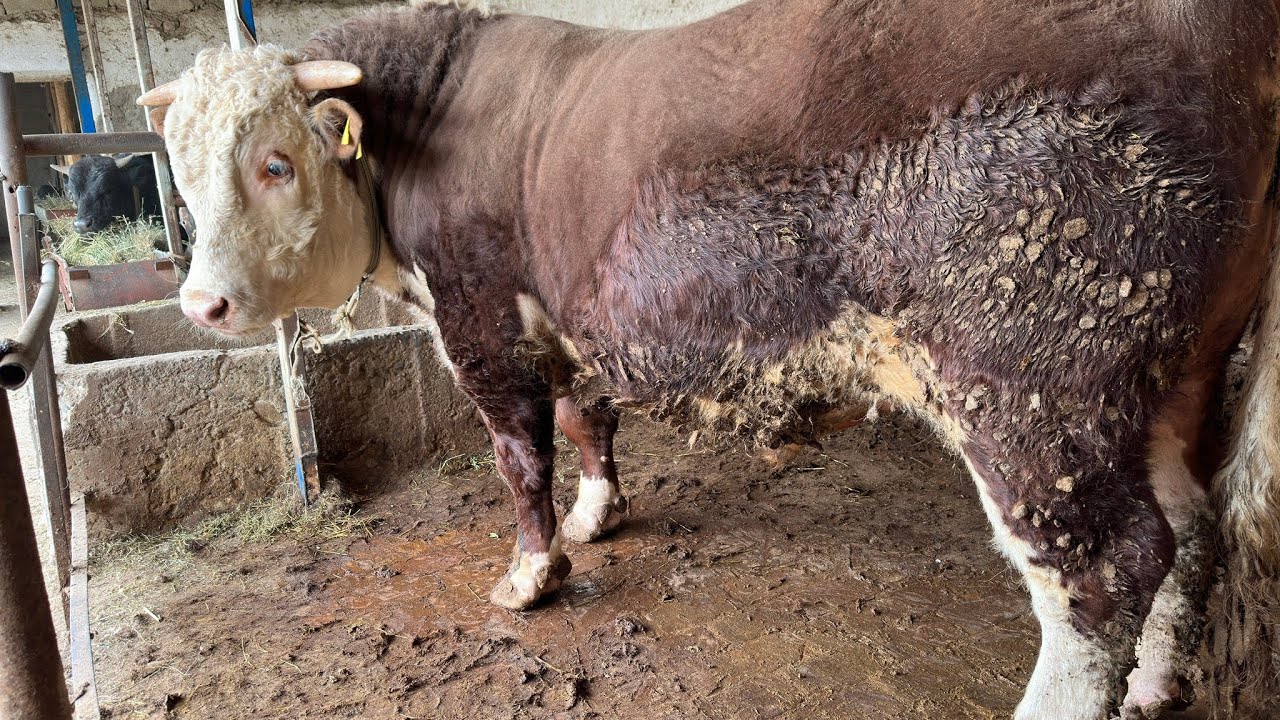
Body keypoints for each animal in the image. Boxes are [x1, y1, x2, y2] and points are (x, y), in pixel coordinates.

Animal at [138, 1, 1280, 718]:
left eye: (275, 162)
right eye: (180, 174)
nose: (200, 303)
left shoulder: (479, 323)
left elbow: (520, 458)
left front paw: (529, 574)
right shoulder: (571, 322)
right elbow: (586, 419)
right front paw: (597, 516)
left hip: (1033, 378)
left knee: (1105, 567)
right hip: (1174, 374)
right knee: (1187, 527)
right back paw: (1153, 684)